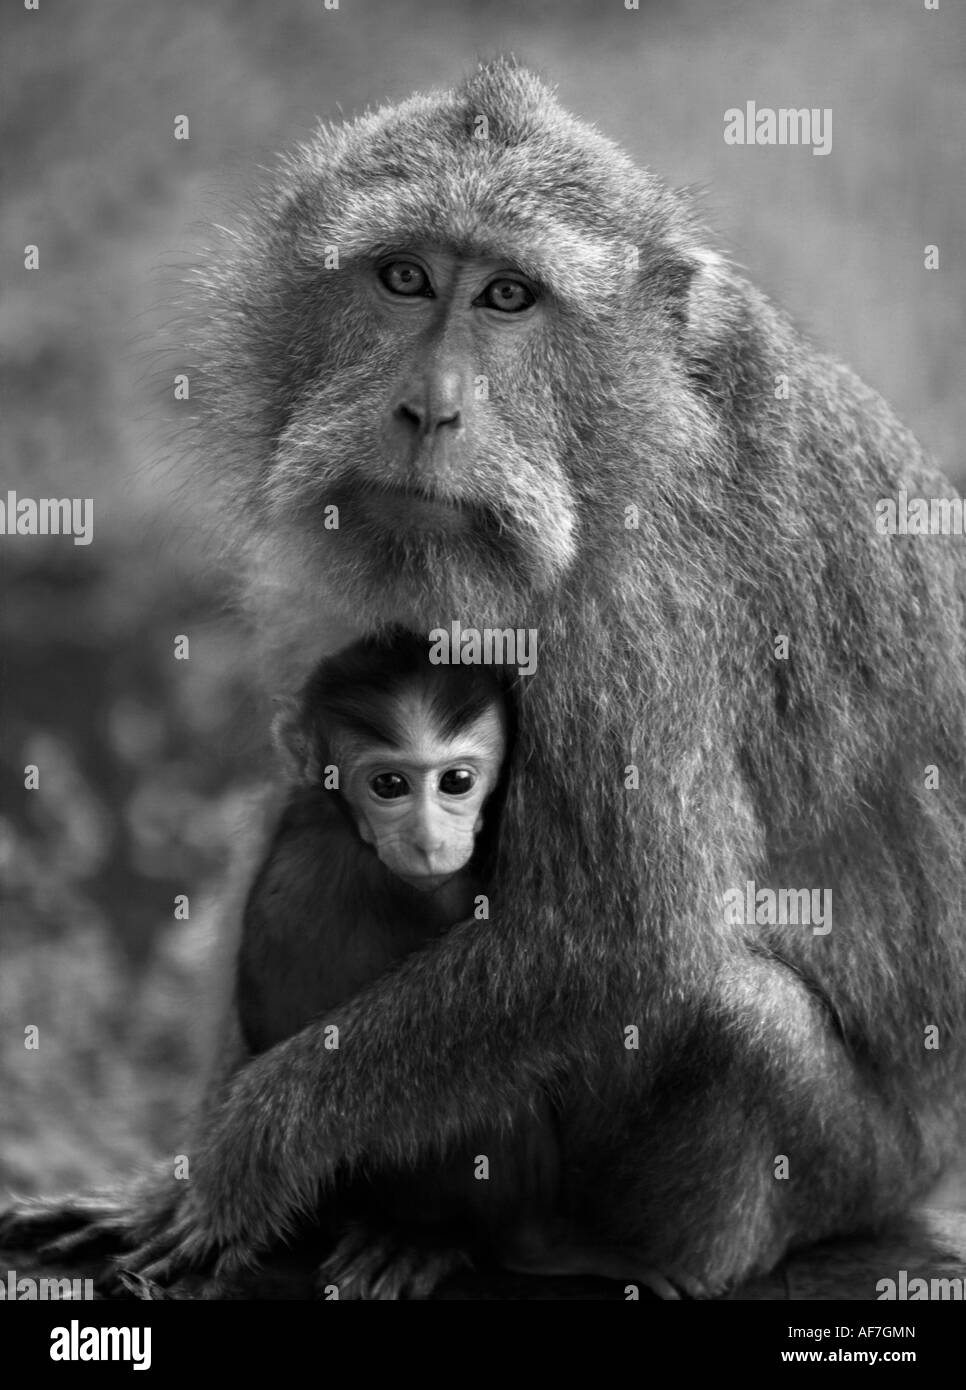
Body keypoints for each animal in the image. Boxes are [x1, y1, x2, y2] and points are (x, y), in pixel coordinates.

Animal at [4, 57, 966, 1302]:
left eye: (510, 297)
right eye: (406, 277)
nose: (429, 409)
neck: (614, 441)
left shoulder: (637, 604)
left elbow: (618, 936)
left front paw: (248, 1150)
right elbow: (301, 779)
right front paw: (175, 1174)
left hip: (850, 1169)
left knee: (733, 1014)